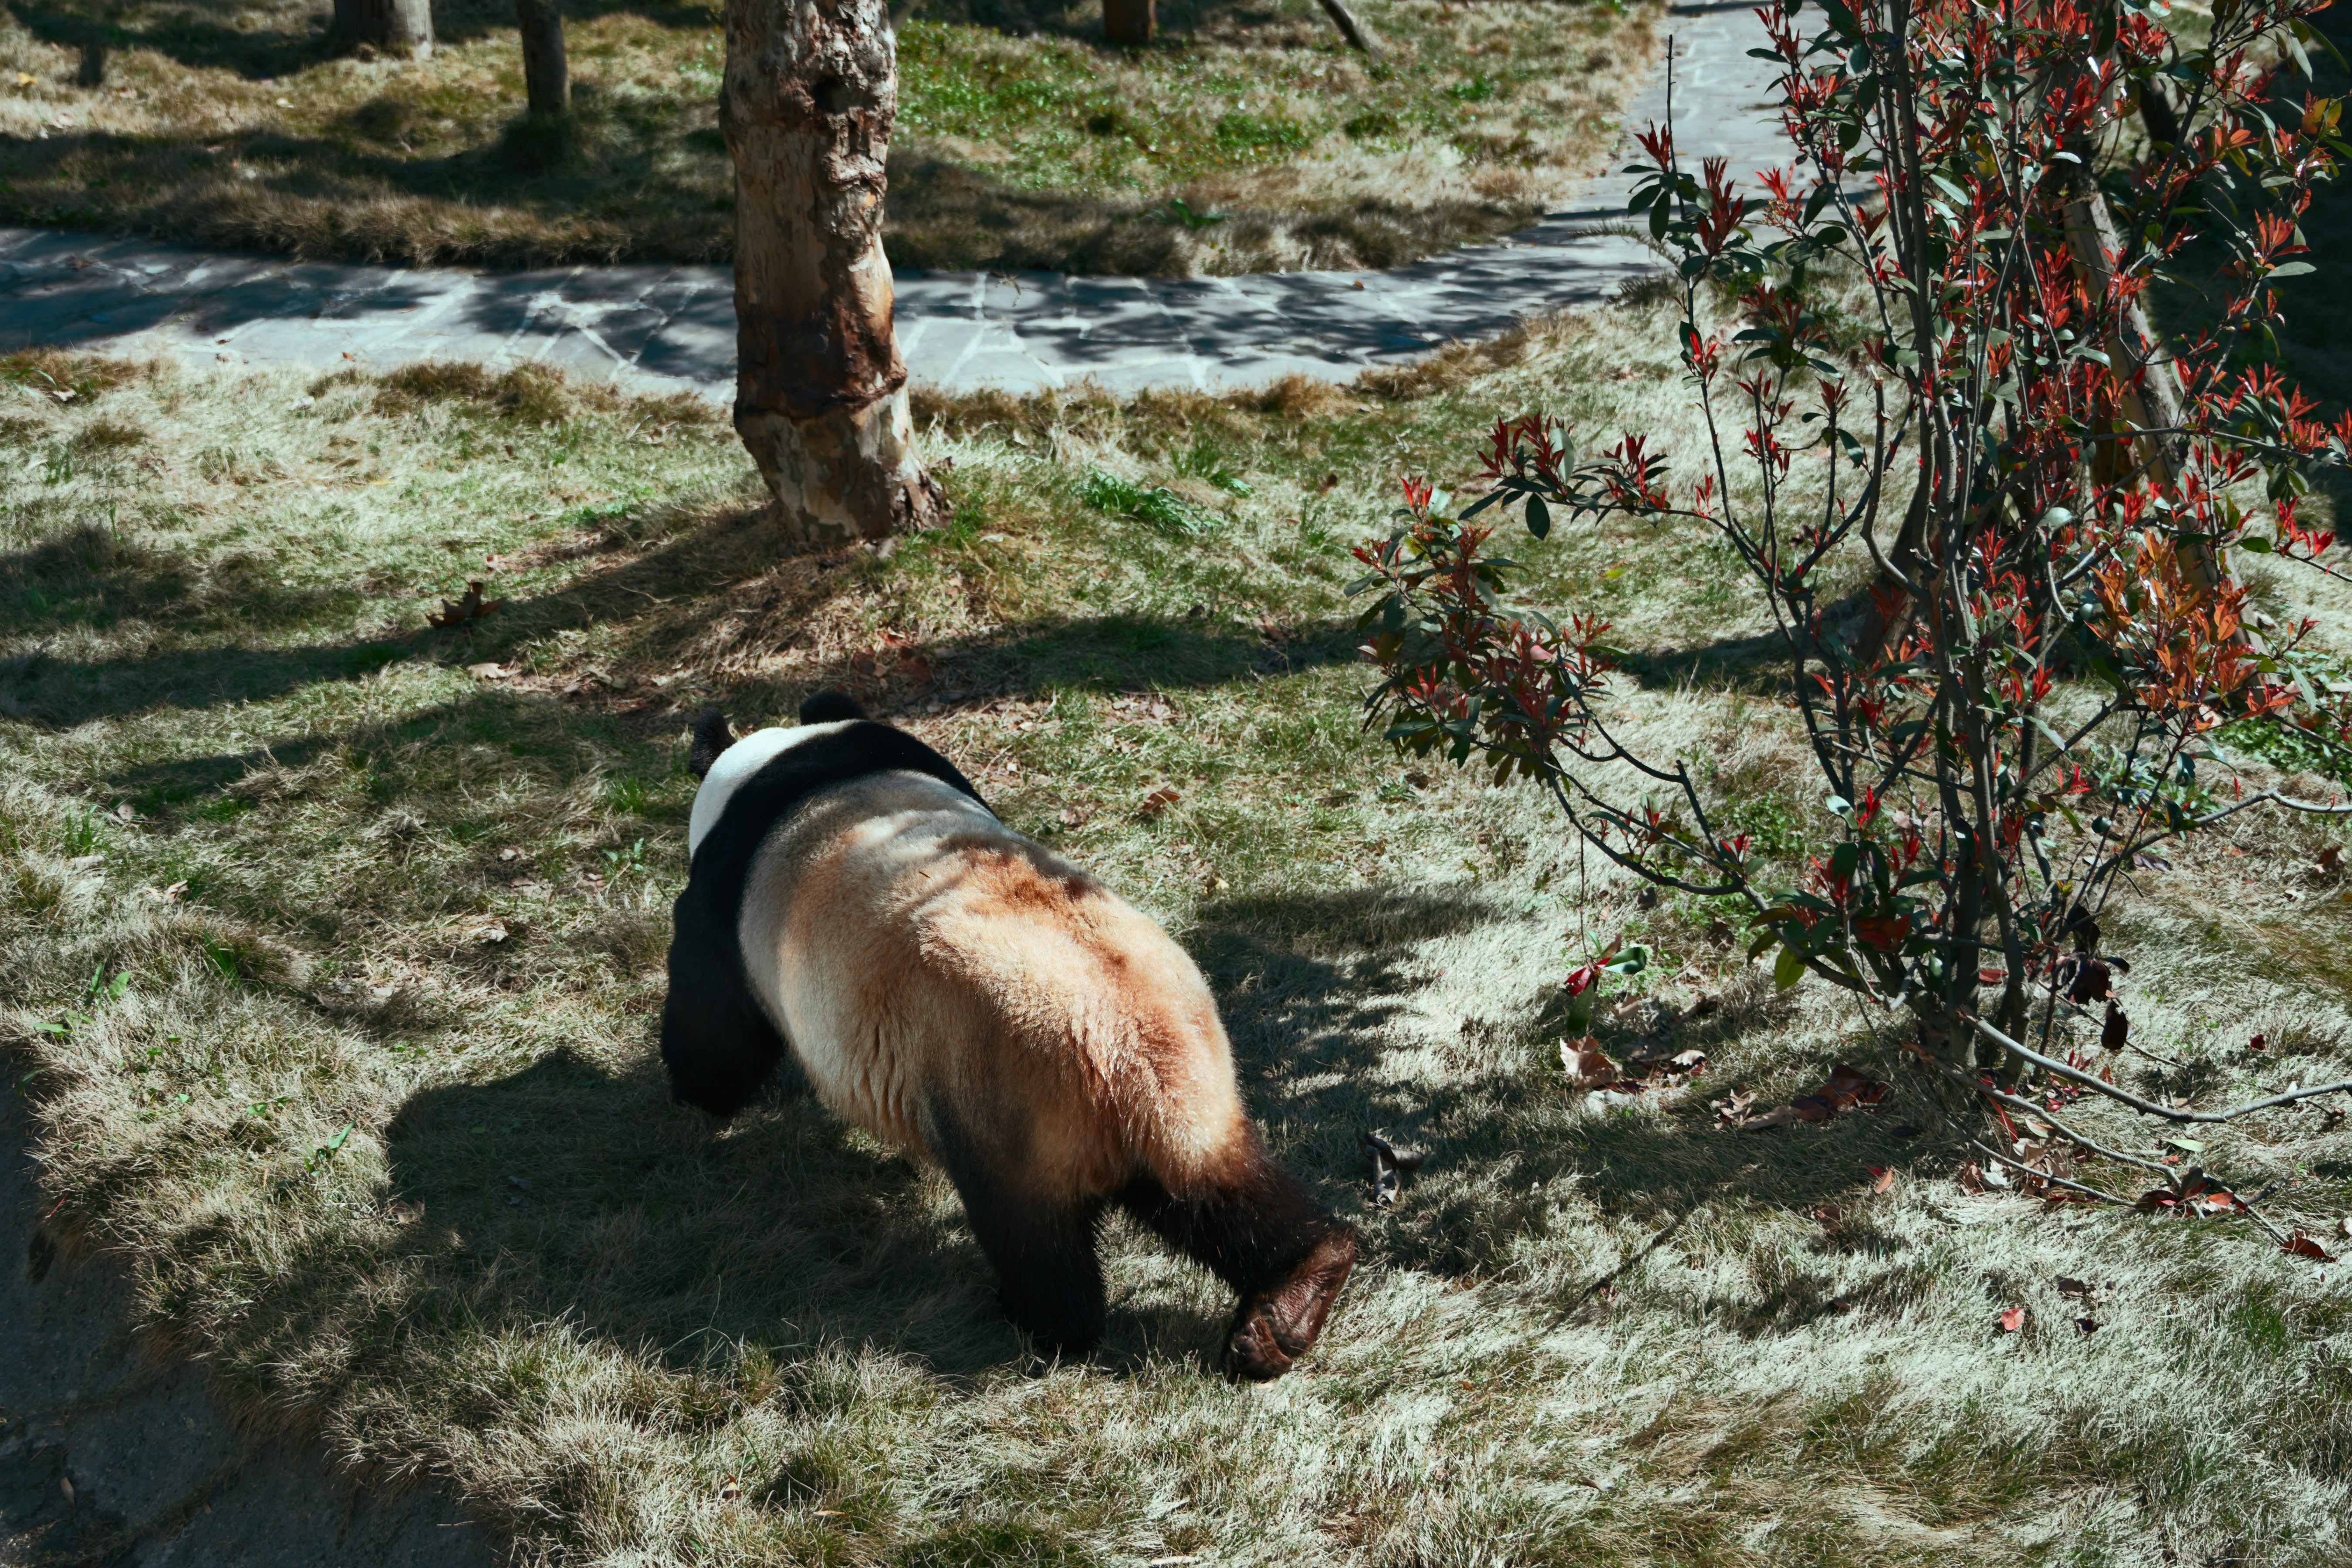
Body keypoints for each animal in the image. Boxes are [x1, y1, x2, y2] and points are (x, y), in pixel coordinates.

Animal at [662, 689, 1356, 1381]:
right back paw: (1291, 1302)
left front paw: (693, 1094)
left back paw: (1035, 1319)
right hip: (1198, 1086)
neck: (772, 761)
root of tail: (1129, 1052)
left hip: (1005, 1094)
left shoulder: (729, 902)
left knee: (1033, 1238)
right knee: (1225, 1197)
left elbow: (714, 1028)